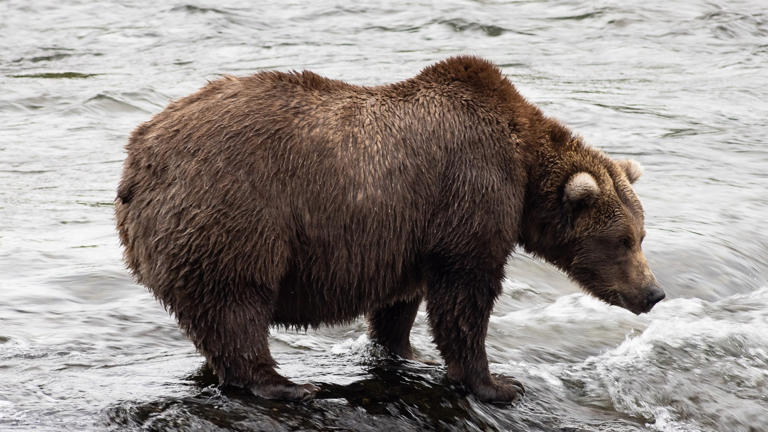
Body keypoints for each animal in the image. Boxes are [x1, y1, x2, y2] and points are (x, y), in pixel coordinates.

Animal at [115, 56, 664, 403]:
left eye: (641, 236)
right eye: (622, 241)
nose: (654, 292)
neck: (524, 167)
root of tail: (137, 160)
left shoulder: (410, 232)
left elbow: (401, 301)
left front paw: (407, 352)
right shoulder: (473, 193)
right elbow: (465, 296)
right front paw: (498, 384)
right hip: (235, 210)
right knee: (237, 303)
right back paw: (286, 385)